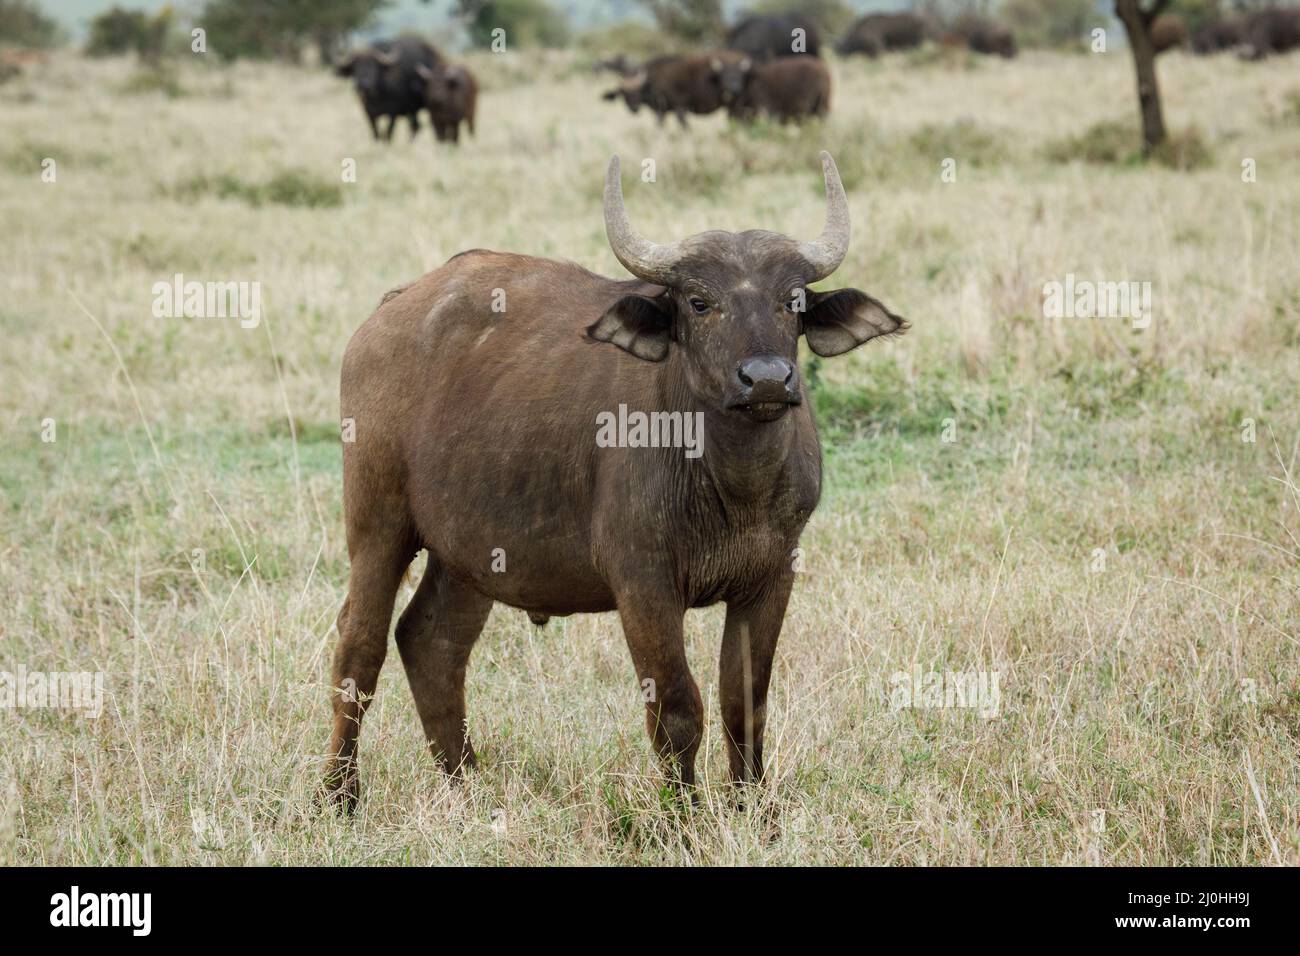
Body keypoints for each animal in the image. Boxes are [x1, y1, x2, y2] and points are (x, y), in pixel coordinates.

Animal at [320, 153, 907, 810]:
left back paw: (468, 785)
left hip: (469, 554)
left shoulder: (772, 577)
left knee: (432, 642)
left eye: (793, 300)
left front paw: (754, 810)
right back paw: (339, 795)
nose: (766, 379)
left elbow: (744, 704)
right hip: (378, 523)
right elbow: (678, 710)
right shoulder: (642, 584)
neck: (731, 484)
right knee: (359, 647)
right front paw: (683, 816)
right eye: (699, 302)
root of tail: (387, 314)